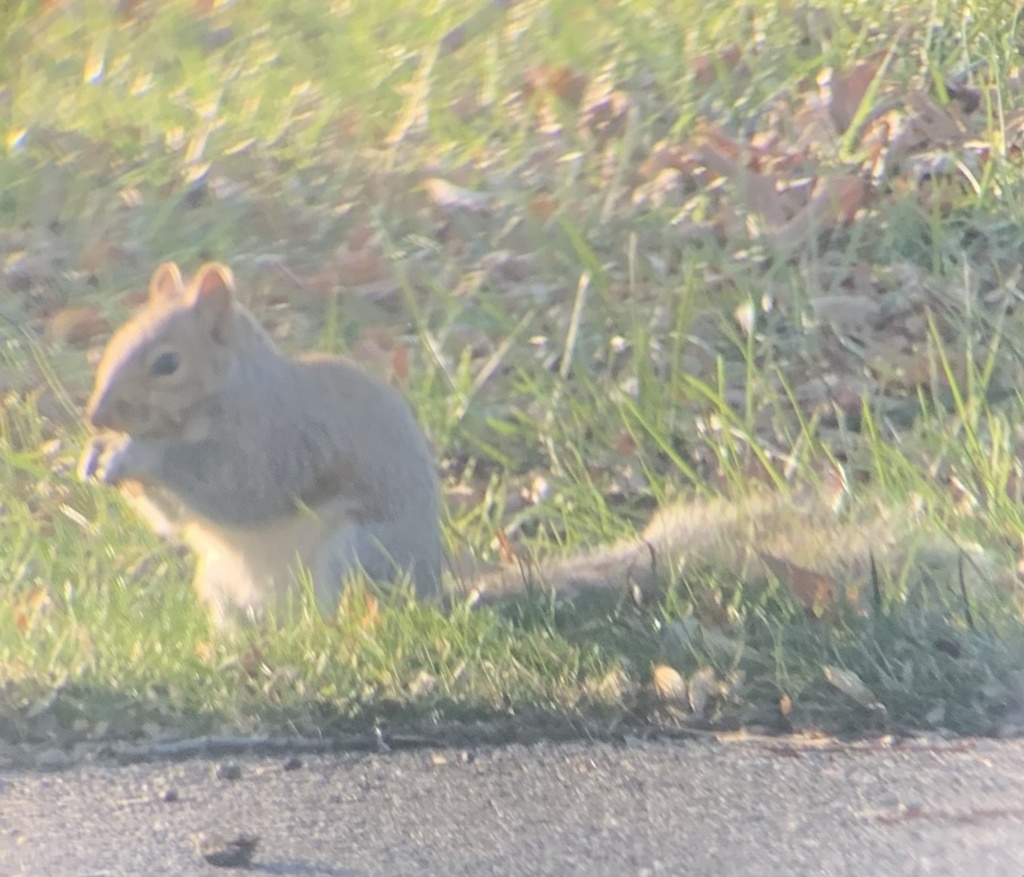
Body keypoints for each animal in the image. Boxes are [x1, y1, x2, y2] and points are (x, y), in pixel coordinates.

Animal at [79, 262, 1007, 626]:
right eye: (116, 339)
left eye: (166, 361)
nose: (95, 415)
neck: (225, 395)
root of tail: (437, 590)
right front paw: (99, 464)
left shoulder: (278, 436)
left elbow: (238, 486)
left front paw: (139, 458)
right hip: (224, 584)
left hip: (356, 559)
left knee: (352, 612)